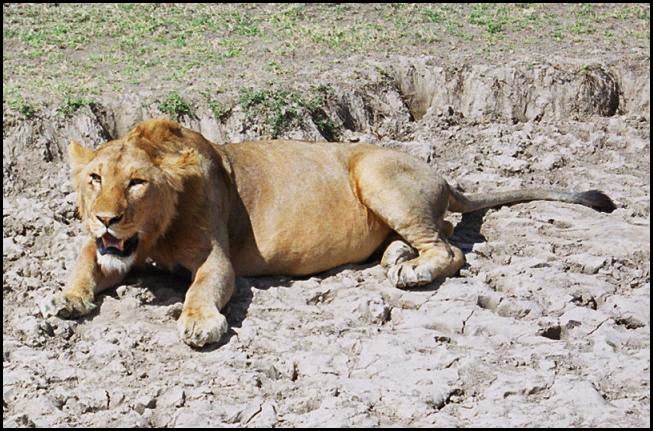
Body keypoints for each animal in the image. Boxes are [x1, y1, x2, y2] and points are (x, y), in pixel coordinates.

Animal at [39, 119, 616, 347]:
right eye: (95, 179)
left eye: (137, 183)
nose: (106, 217)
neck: (153, 232)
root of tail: (443, 175)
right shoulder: (110, 250)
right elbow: (84, 260)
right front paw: (64, 299)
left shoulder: (216, 257)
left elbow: (202, 288)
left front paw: (200, 324)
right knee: (439, 234)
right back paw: (396, 257)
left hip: (375, 172)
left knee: (451, 250)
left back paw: (411, 272)